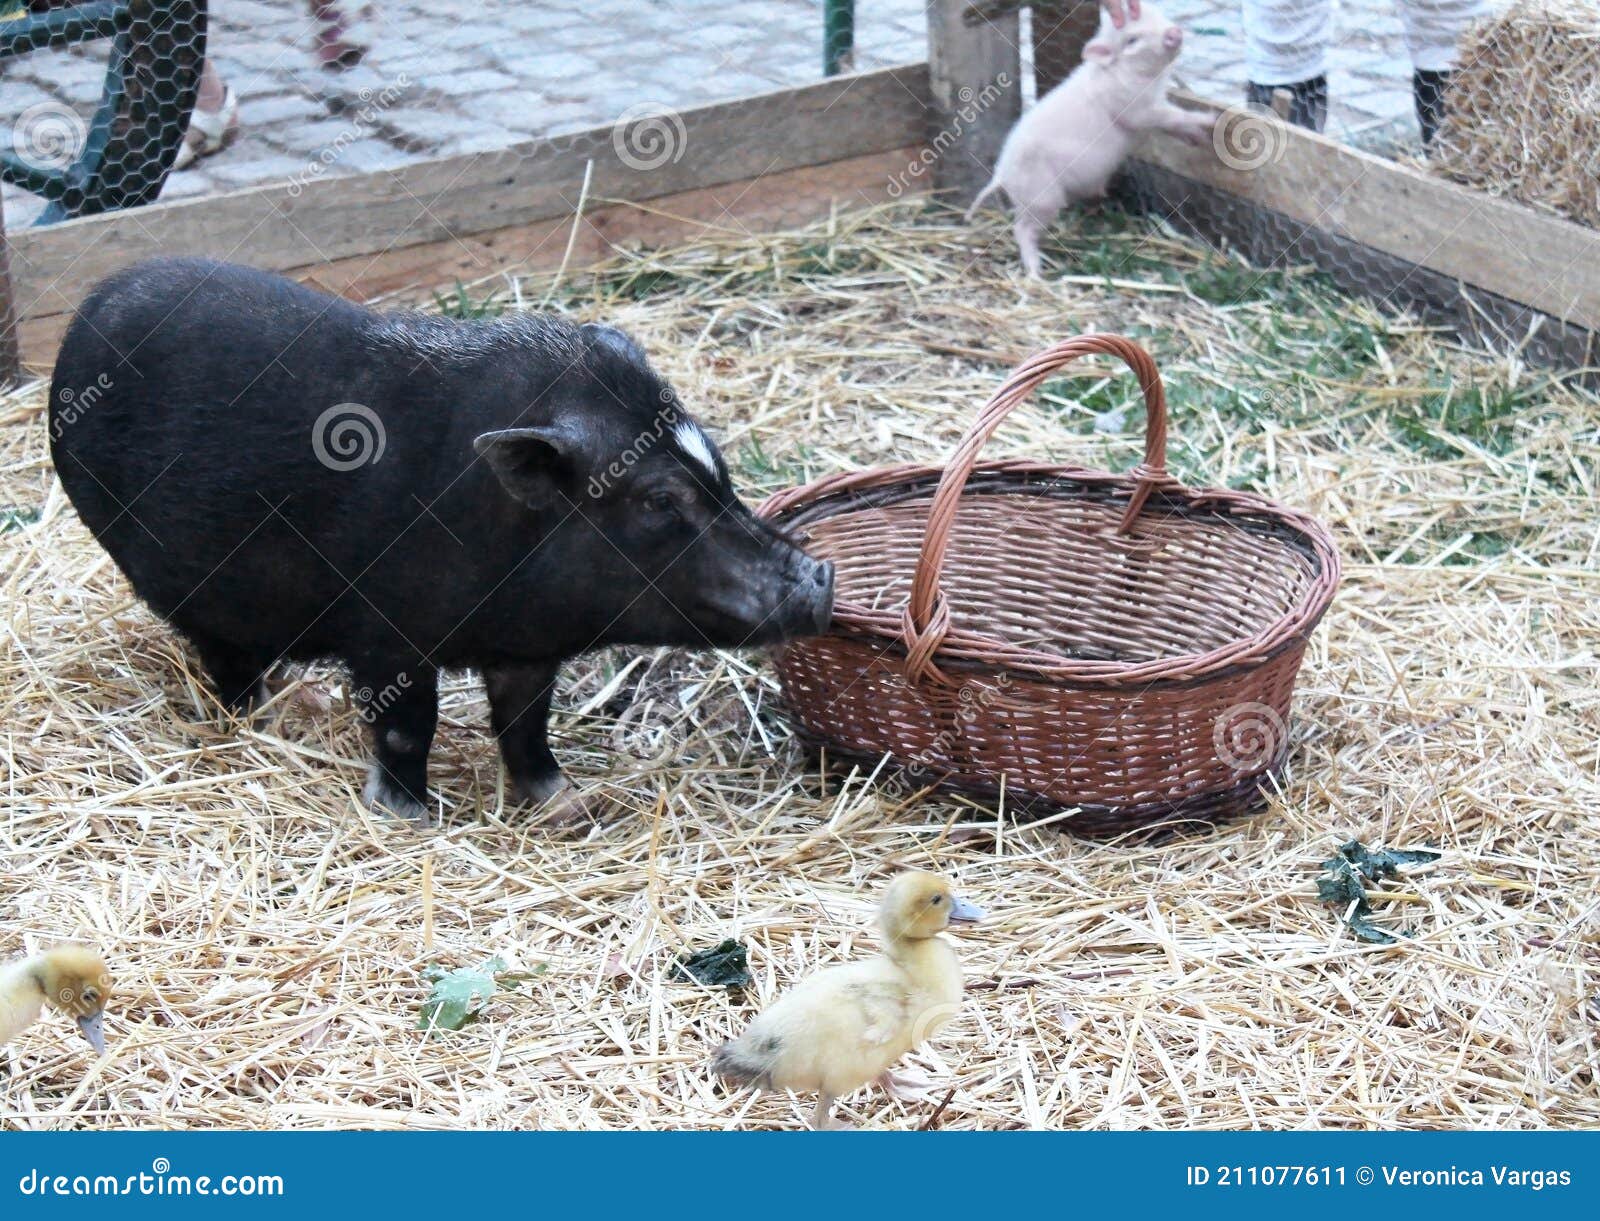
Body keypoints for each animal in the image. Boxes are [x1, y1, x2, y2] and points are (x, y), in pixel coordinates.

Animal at [48, 257, 834, 822]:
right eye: (660, 499)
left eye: (719, 470)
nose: (820, 577)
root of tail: (92, 305)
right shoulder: (384, 634)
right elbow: (407, 725)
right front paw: (407, 815)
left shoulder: (527, 651)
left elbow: (526, 726)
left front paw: (568, 805)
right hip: (191, 588)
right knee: (228, 664)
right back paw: (272, 714)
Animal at [965, 4, 1216, 276]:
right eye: (1132, 40)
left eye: (1153, 14)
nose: (1174, 32)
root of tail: (1001, 175)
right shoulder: (1136, 110)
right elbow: (1171, 116)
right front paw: (1210, 120)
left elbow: (1171, 124)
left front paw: (1198, 138)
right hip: (1043, 196)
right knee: (1021, 228)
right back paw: (1036, 272)